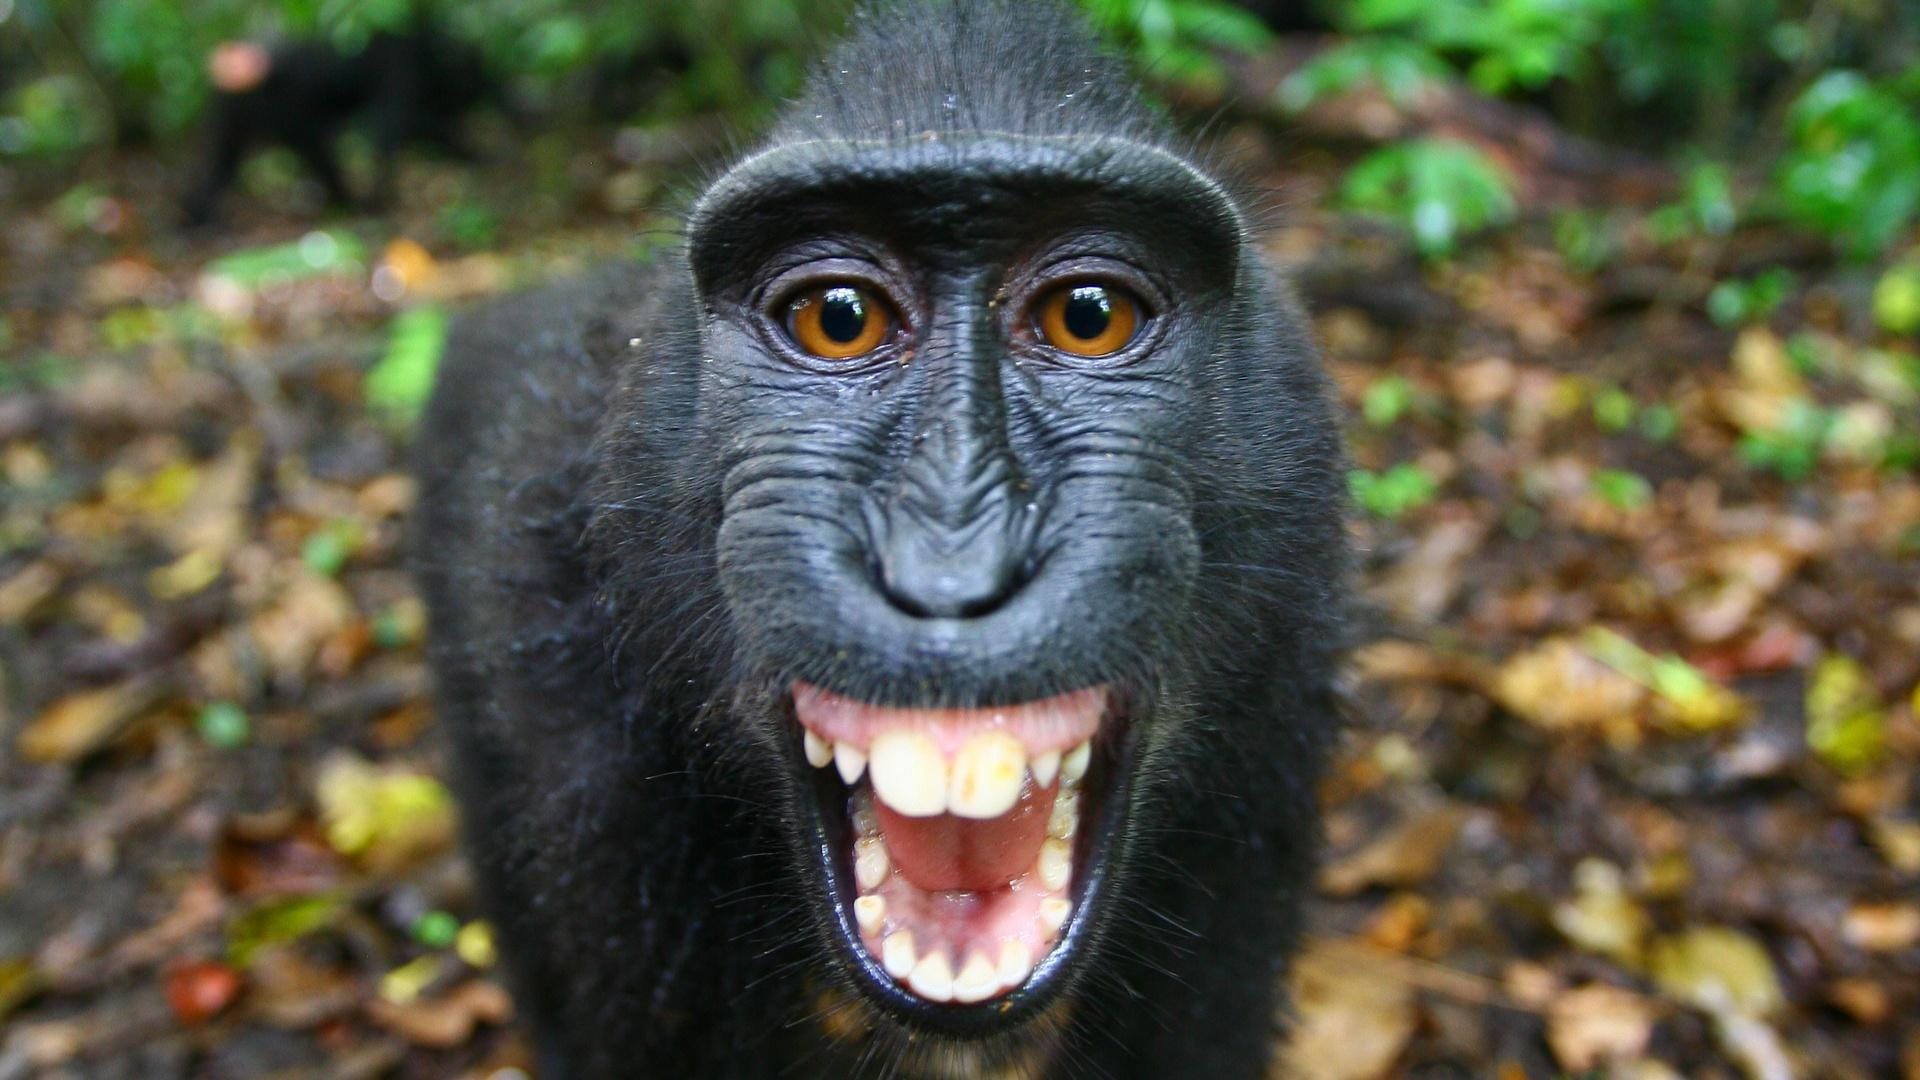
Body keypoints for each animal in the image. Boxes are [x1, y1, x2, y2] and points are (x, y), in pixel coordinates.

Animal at [181, 22, 494, 226]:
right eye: (473, 75)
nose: (483, 88)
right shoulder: (400, 73)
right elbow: (399, 129)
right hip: (291, 123)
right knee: (322, 159)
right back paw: (349, 202)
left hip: (230, 119)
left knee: (218, 167)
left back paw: (198, 220)